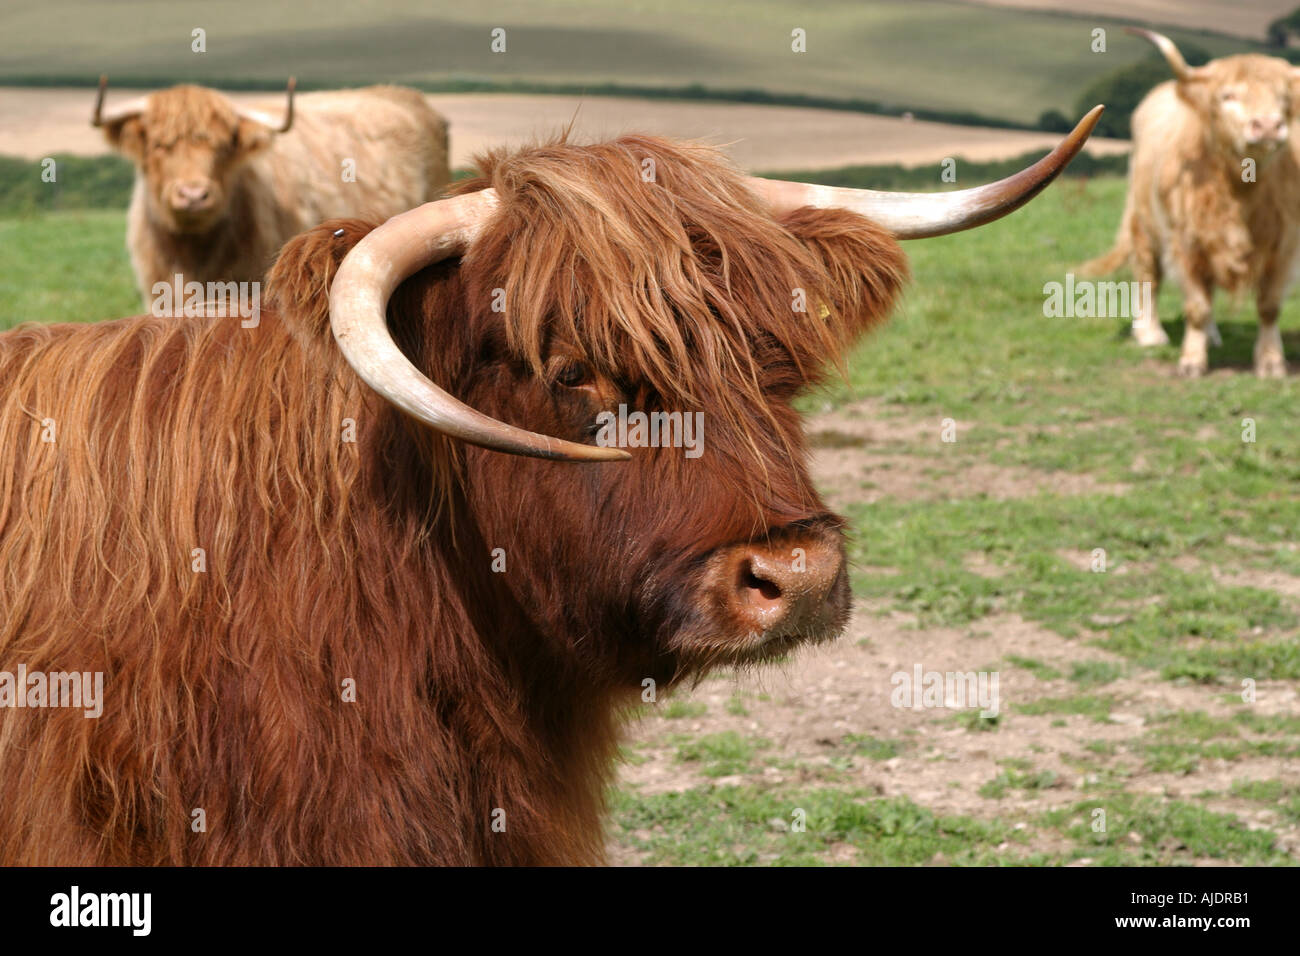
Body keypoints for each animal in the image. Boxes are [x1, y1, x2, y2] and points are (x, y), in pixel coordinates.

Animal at [1081, 29, 1300, 377]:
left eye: (1284, 99)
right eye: (1227, 96)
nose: (1267, 126)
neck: (1239, 191)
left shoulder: (1284, 245)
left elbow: (1269, 306)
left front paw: (1271, 362)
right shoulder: (1186, 241)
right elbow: (1196, 305)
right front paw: (1191, 362)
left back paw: (1211, 335)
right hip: (1144, 222)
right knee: (1148, 274)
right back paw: (1150, 332)